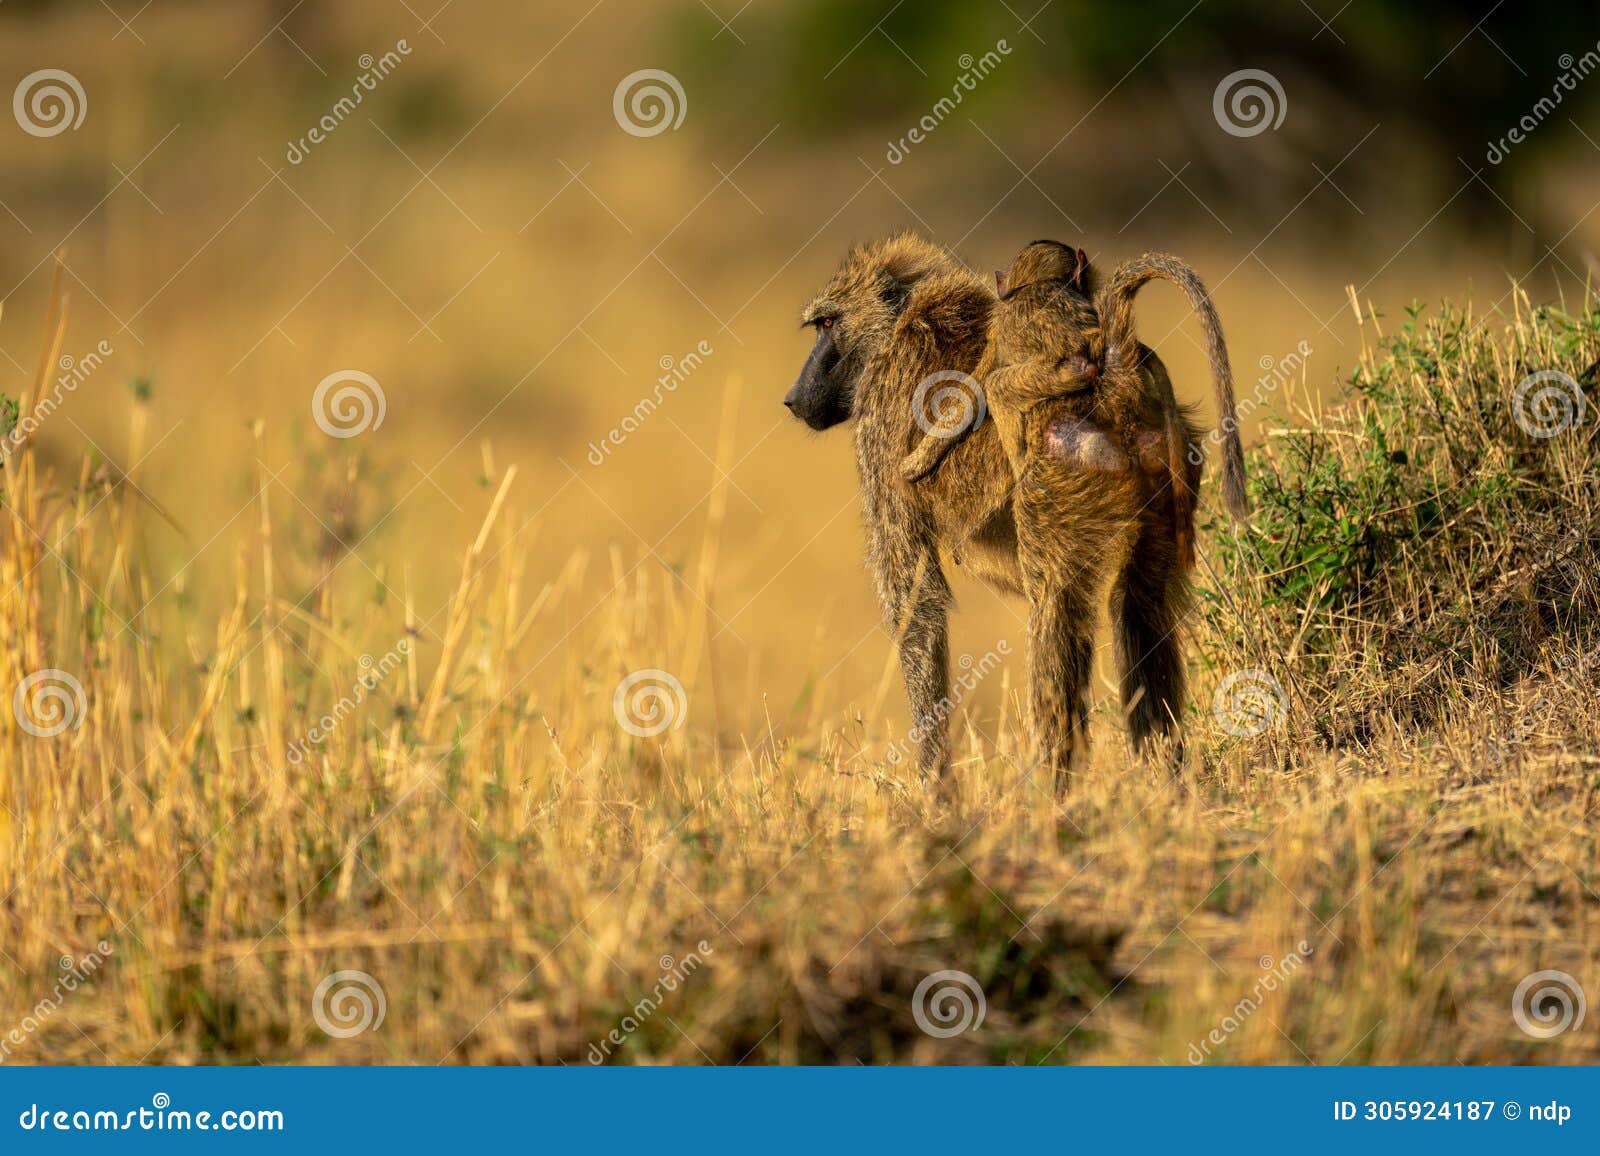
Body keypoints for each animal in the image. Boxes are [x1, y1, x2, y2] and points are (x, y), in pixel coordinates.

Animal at [784, 234, 1248, 785]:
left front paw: (936, 789)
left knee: (1054, 607)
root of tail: (1117, 359)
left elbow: (914, 604)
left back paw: (1053, 787)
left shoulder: (877, 425)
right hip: (1166, 471)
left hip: (1067, 464)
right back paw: (1166, 781)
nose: (793, 398)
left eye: (828, 325)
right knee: (1139, 602)